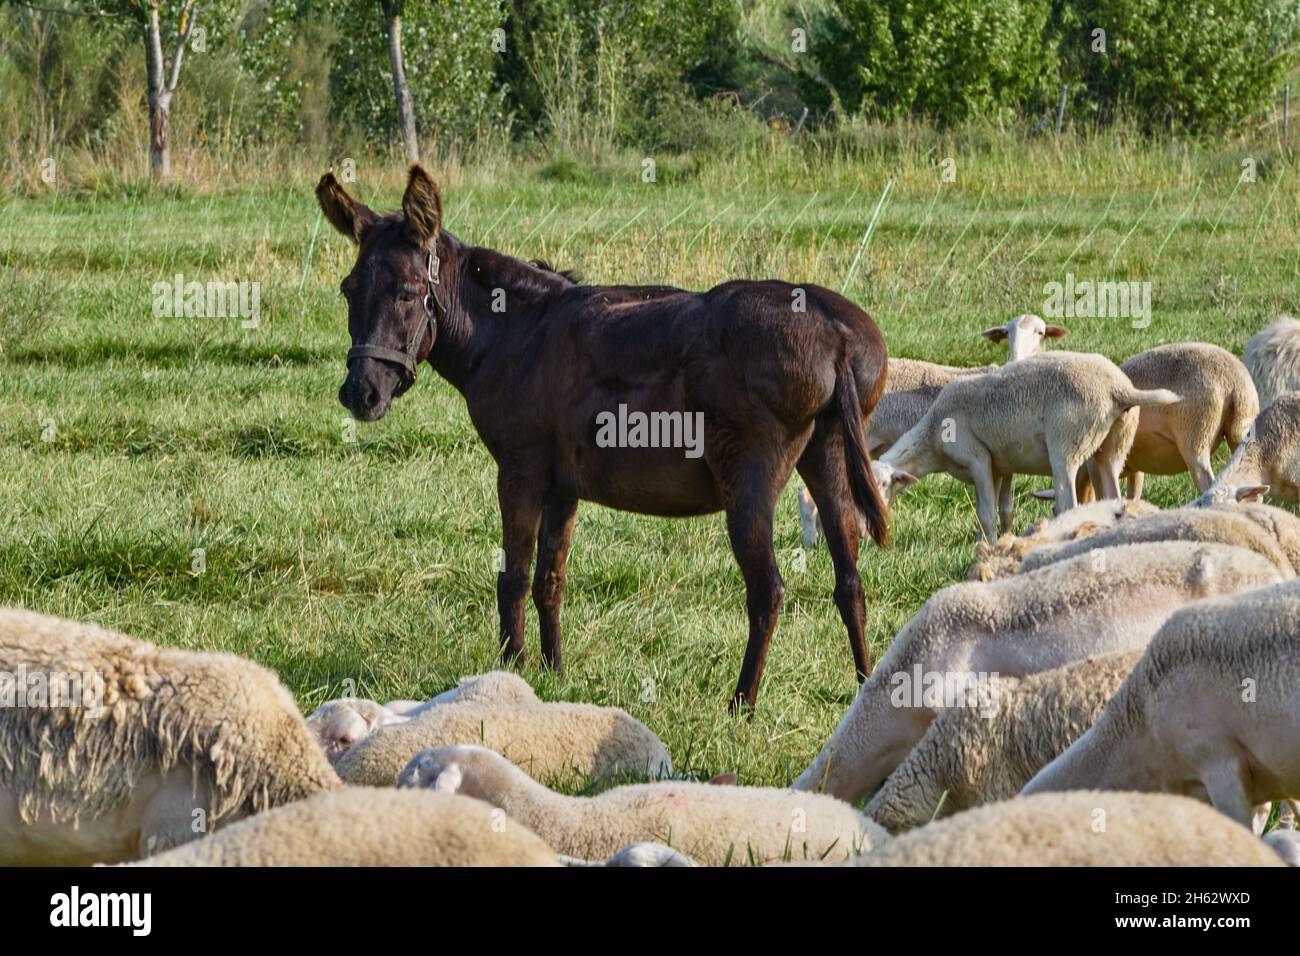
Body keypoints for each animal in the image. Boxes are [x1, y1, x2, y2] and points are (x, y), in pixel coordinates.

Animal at [869, 352, 1181, 540]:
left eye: (883, 484)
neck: (932, 437)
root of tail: (1119, 389)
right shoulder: (999, 466)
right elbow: (1000, 510)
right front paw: (994, 542)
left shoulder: (978, 459)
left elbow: (986, 514)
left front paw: (990, 544)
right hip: (1113, 447)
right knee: (1112, 494)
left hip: (1066, 444)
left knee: (1067, 502)